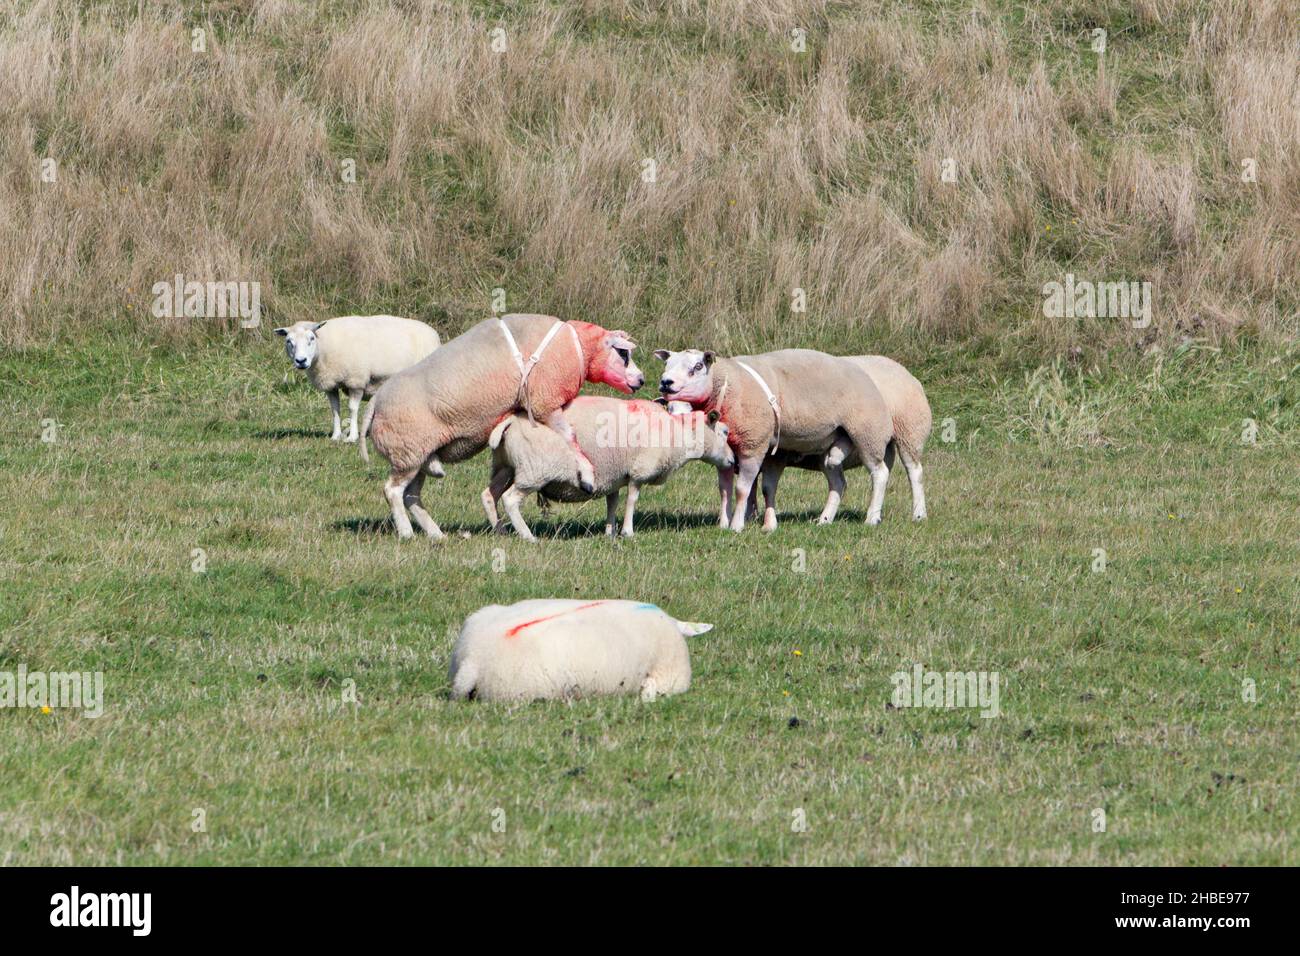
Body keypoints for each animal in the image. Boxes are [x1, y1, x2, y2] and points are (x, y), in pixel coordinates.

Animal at [275, 315, 440, 442]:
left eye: (311, 338)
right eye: (289, 341)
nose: (301, 361)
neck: (324, 348)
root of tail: (434, 334)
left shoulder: (356, 381)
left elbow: (352, 409)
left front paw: (352, 437)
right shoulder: (330, 385)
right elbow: (335, 410)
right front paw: (336, 436)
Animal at [359, 313, 645, 540]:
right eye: (623, 353)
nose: (642, 380)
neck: (578, 347)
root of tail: (374, 403)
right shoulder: (544, 402)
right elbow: (570, 435)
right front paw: (586, 474)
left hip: (417, 455)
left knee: (411, 496)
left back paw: (436, 533)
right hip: (406, 452)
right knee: (393, 491)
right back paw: (406, 532)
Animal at [481, 396, 735, 540]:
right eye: (724, 432)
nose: (733, 461)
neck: (677, 435)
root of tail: (510, 421)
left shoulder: (614, 475)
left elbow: (612, 502)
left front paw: (609, 532)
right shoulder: (638, 470)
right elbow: (632, 500)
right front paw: (627, 532)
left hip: (506, 466)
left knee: (489, 495)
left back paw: (500, 531)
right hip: (535, 470)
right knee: (510, 499)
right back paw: (527, 536)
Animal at [654, 347, 892, 532]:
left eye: (697, 367)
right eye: (667, 364)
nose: (666, 382)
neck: (726, 387)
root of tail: (858, 367)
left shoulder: (753, 445)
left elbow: (742, 489)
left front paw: (736, 526)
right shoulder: (726, 453)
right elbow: (724, 489)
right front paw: (723, 524)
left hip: (867, 433)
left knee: (879, 473)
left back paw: (872, 517)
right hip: (833, 442)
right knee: (837, 479)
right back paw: (825, 520)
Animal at [762, 356, 932, 523]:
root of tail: (909, 375)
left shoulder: (774, 456)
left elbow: (765, 487)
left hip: (906, 433)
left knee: (911, 471)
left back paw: (914, 514)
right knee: (841, 480)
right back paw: (827, 518)